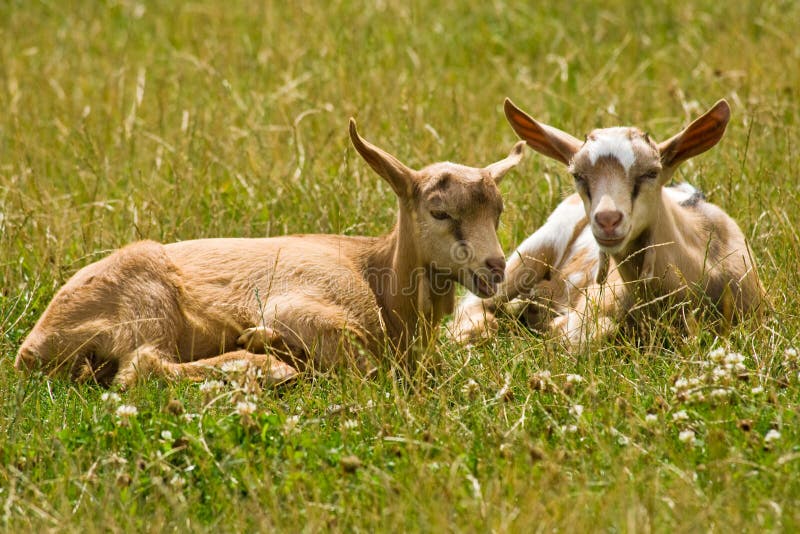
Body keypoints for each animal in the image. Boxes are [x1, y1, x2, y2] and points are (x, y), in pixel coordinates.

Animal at [16, 120, 525, 387]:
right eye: (439, 211)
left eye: (498, 212)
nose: (495, 268)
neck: (376, 274)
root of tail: (35, 345)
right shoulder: (302, 303)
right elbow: (365, 367)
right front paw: (267, 347)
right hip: (146, 297)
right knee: (141, 367)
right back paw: (267, 367)